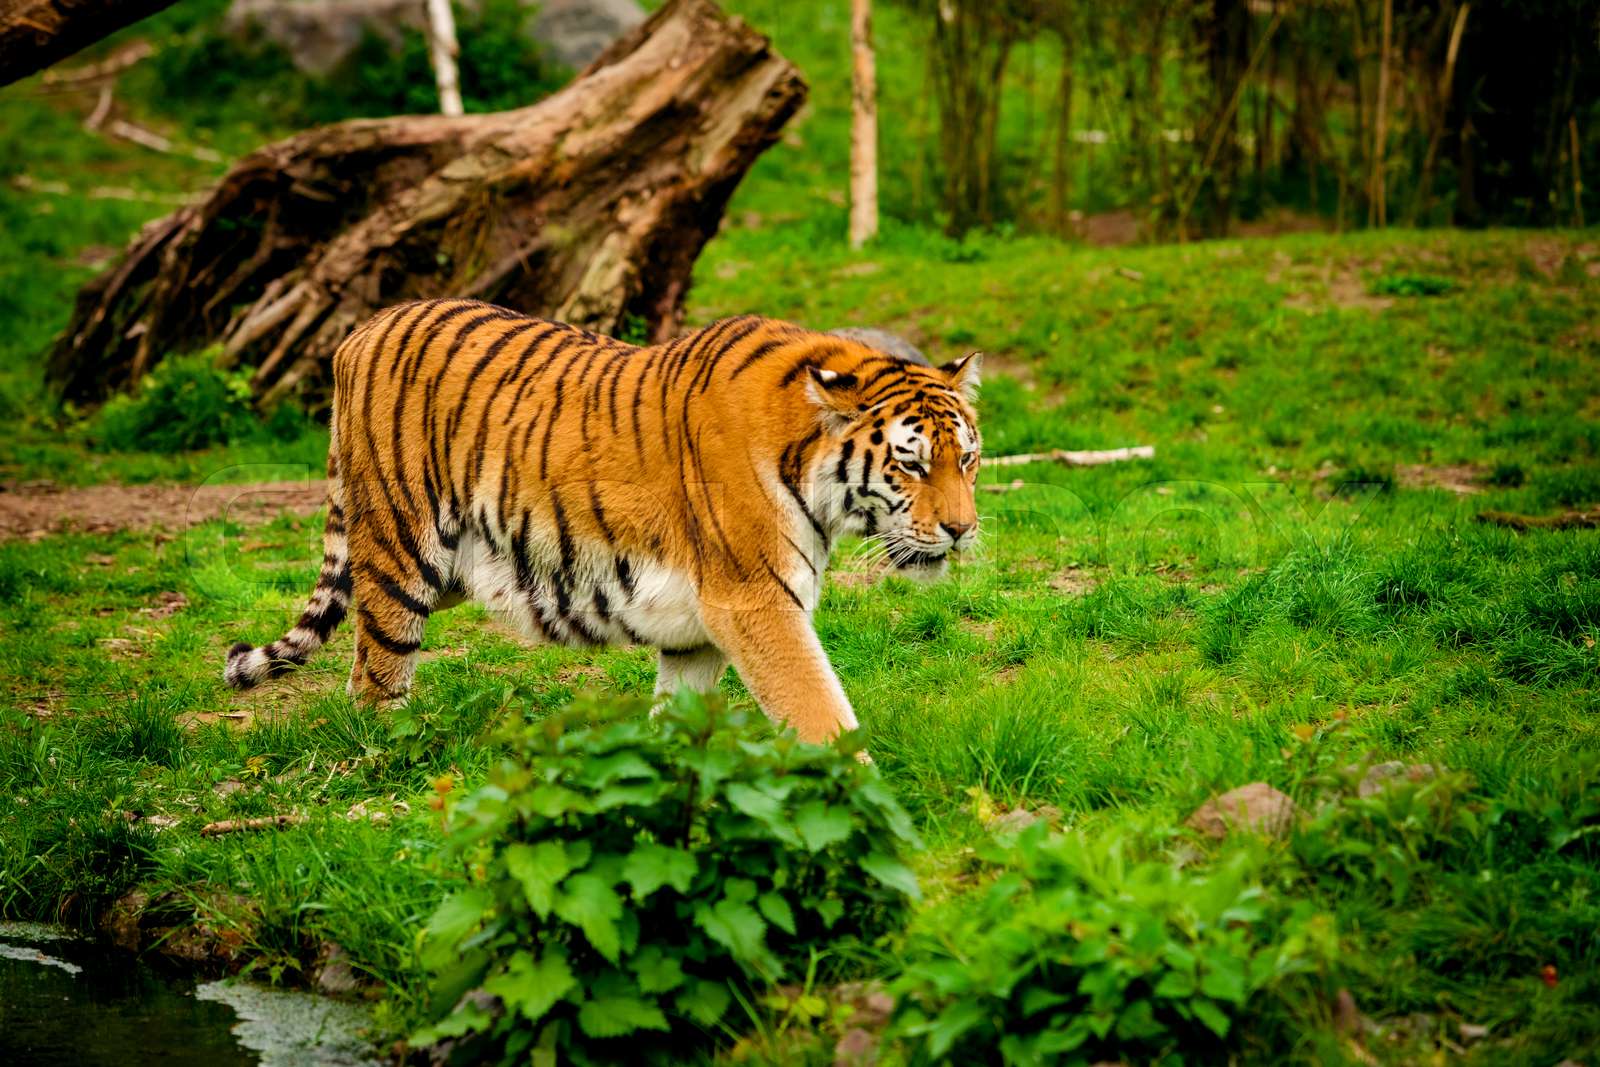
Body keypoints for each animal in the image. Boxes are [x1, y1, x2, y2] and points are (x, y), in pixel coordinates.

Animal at [224, 299, 982, 747]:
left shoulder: (699, 625)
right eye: (911, 465)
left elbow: (678, 713)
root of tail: (359, 333)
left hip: (452, 567)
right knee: (373, 674)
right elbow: (819, 710)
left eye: (967, 459)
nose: (962, 530)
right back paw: (394, 751)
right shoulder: (756, 600)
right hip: (402, 552)